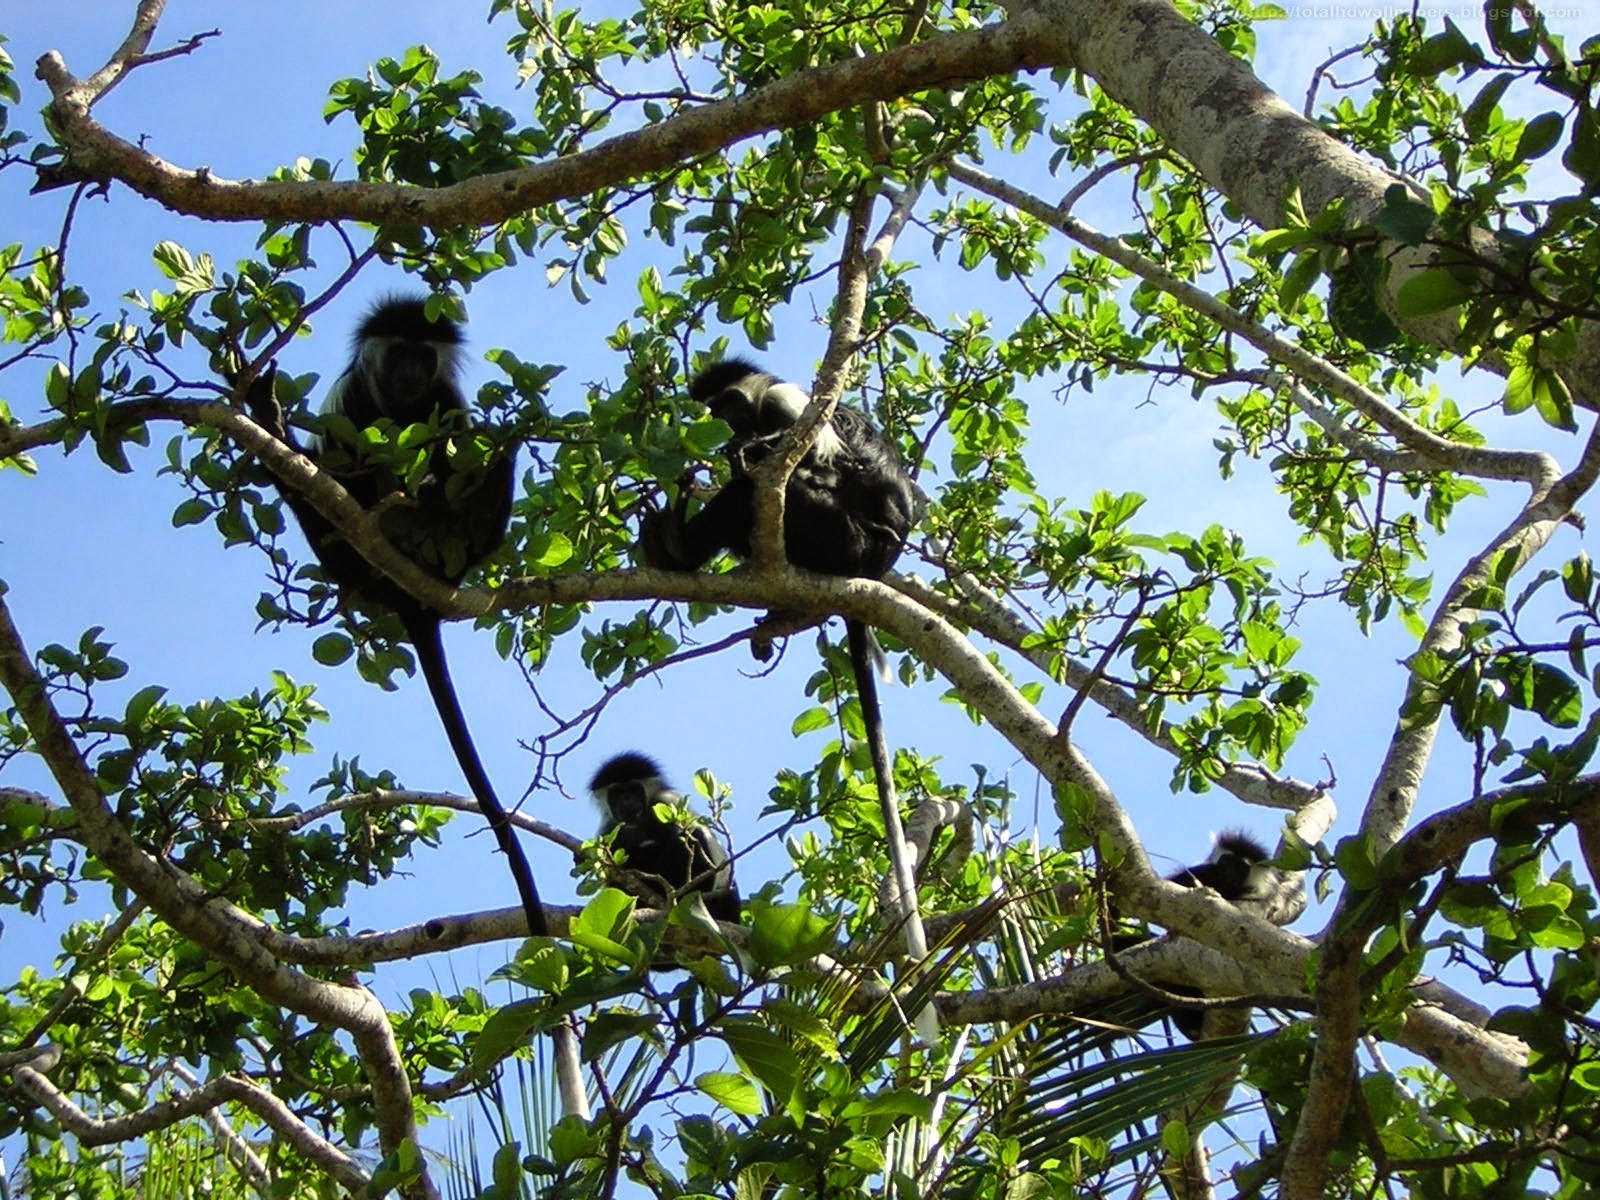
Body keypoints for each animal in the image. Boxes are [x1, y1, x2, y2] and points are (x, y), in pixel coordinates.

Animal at [246, 296, 547, 938]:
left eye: (422, 356)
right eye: (399, 354)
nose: (410, 373)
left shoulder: (445, 397)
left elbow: (462, 436)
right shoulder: (355, 396)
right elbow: (350, 454)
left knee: (486, 459)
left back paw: (445, 518)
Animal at [586, 752, 739, 921]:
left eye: (634, 790)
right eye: (617, 794)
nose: (626, 801)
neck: (638, 823)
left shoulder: (666, 801)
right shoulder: (609, 830)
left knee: (692, 837)